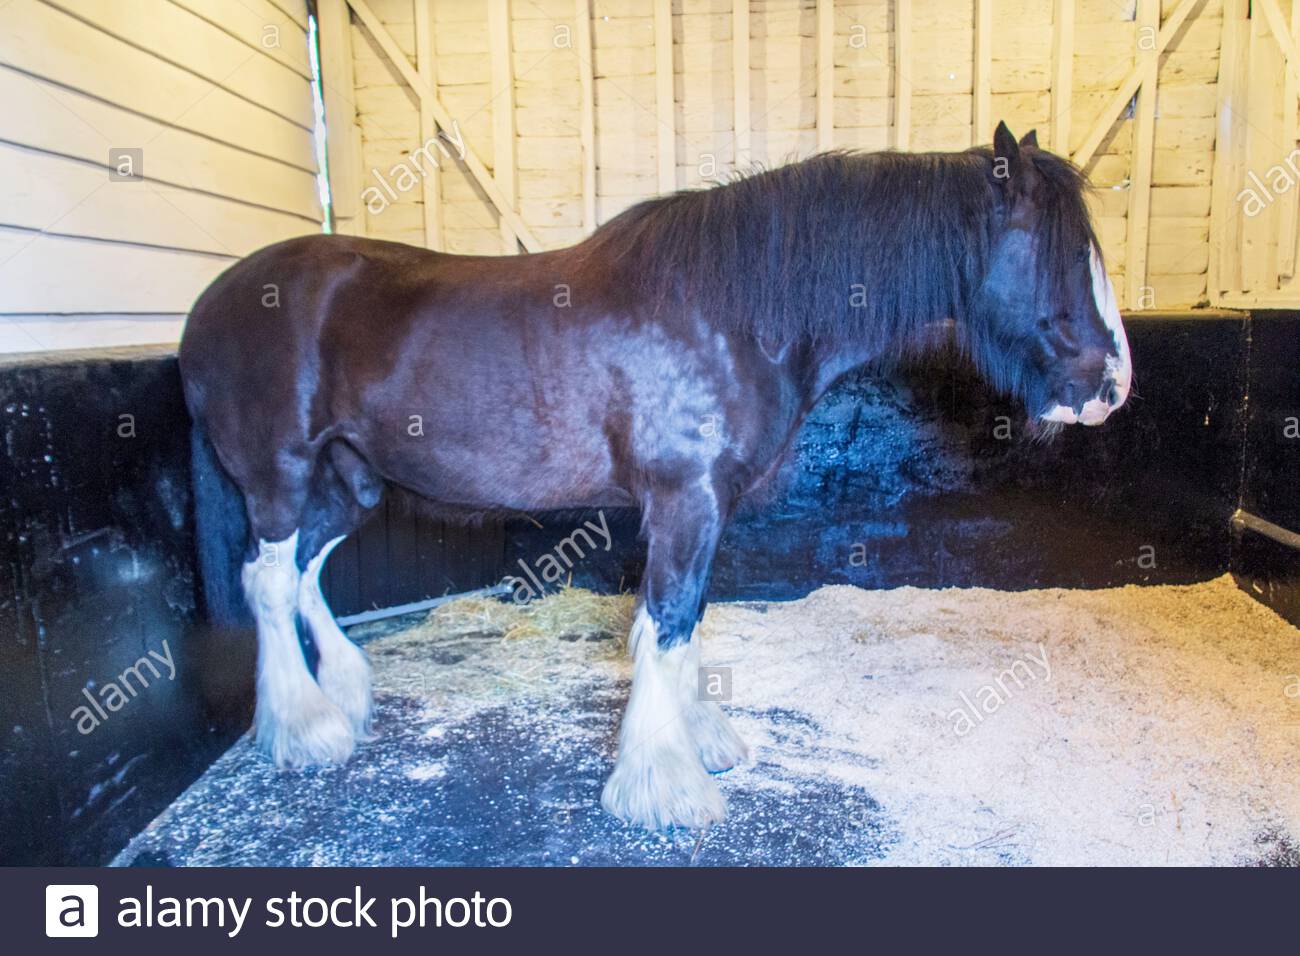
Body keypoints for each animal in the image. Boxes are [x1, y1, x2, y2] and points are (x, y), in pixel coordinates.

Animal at [179, 122, 1131, 831]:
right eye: (1056, 253)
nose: (1113, 386)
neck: (732, 311)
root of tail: (209, 307)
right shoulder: (684, 500)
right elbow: (666, 626)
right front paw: (662, 785)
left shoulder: (705, 508)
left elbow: (688, 624)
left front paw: (701, 744)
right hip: (278, 477)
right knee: (269, 581)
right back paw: (304, 732)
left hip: (351, 484)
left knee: (304, 571)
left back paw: (342, 699)